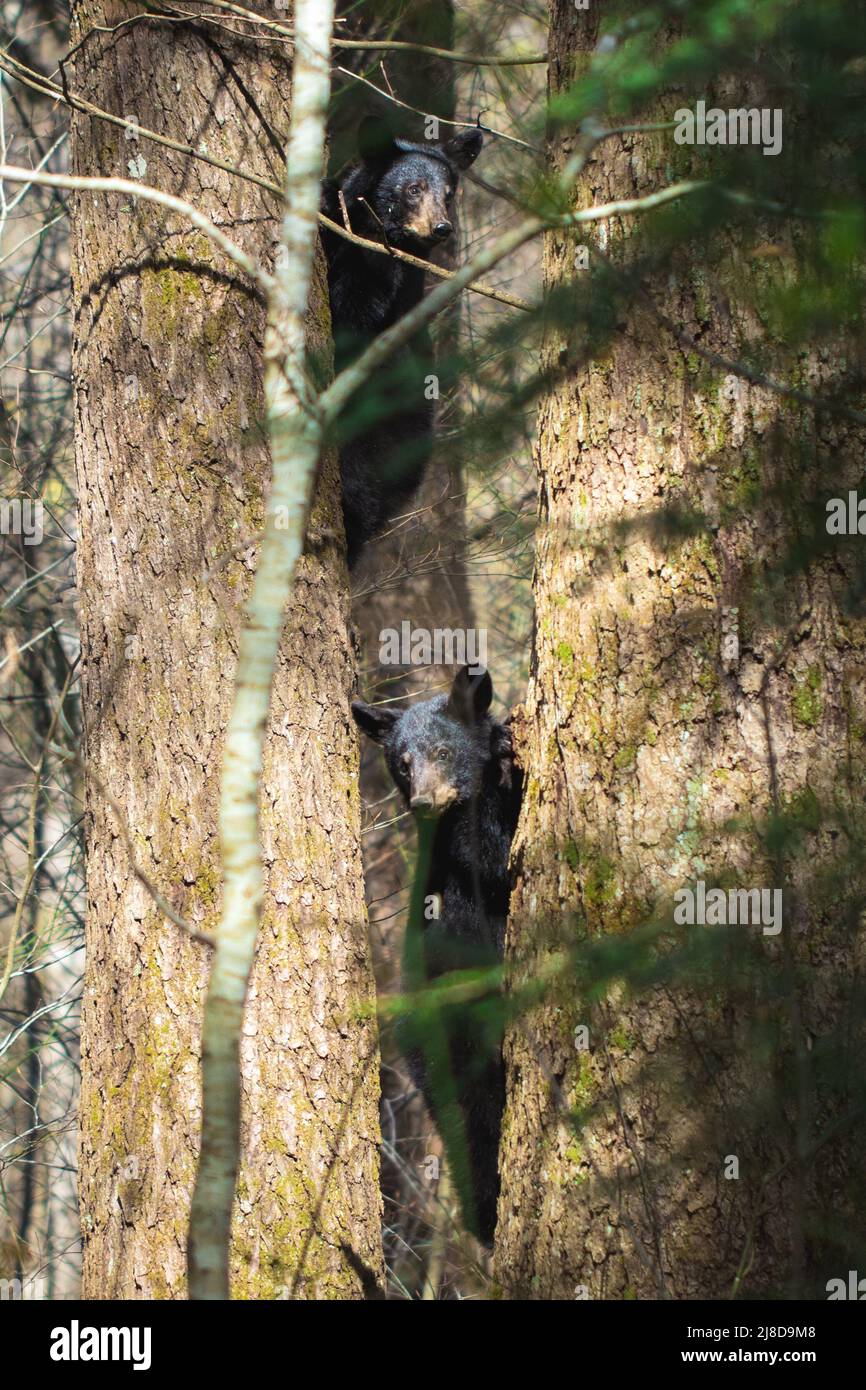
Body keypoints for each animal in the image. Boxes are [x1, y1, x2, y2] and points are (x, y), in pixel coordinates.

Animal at [351, 665, 521, 1246]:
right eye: (404, 762)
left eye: (444, 751)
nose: (423, 801)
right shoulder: (460, 856)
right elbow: (495, 858)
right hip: (453, 1036)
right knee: (472, 1119)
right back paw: (485, 1217)